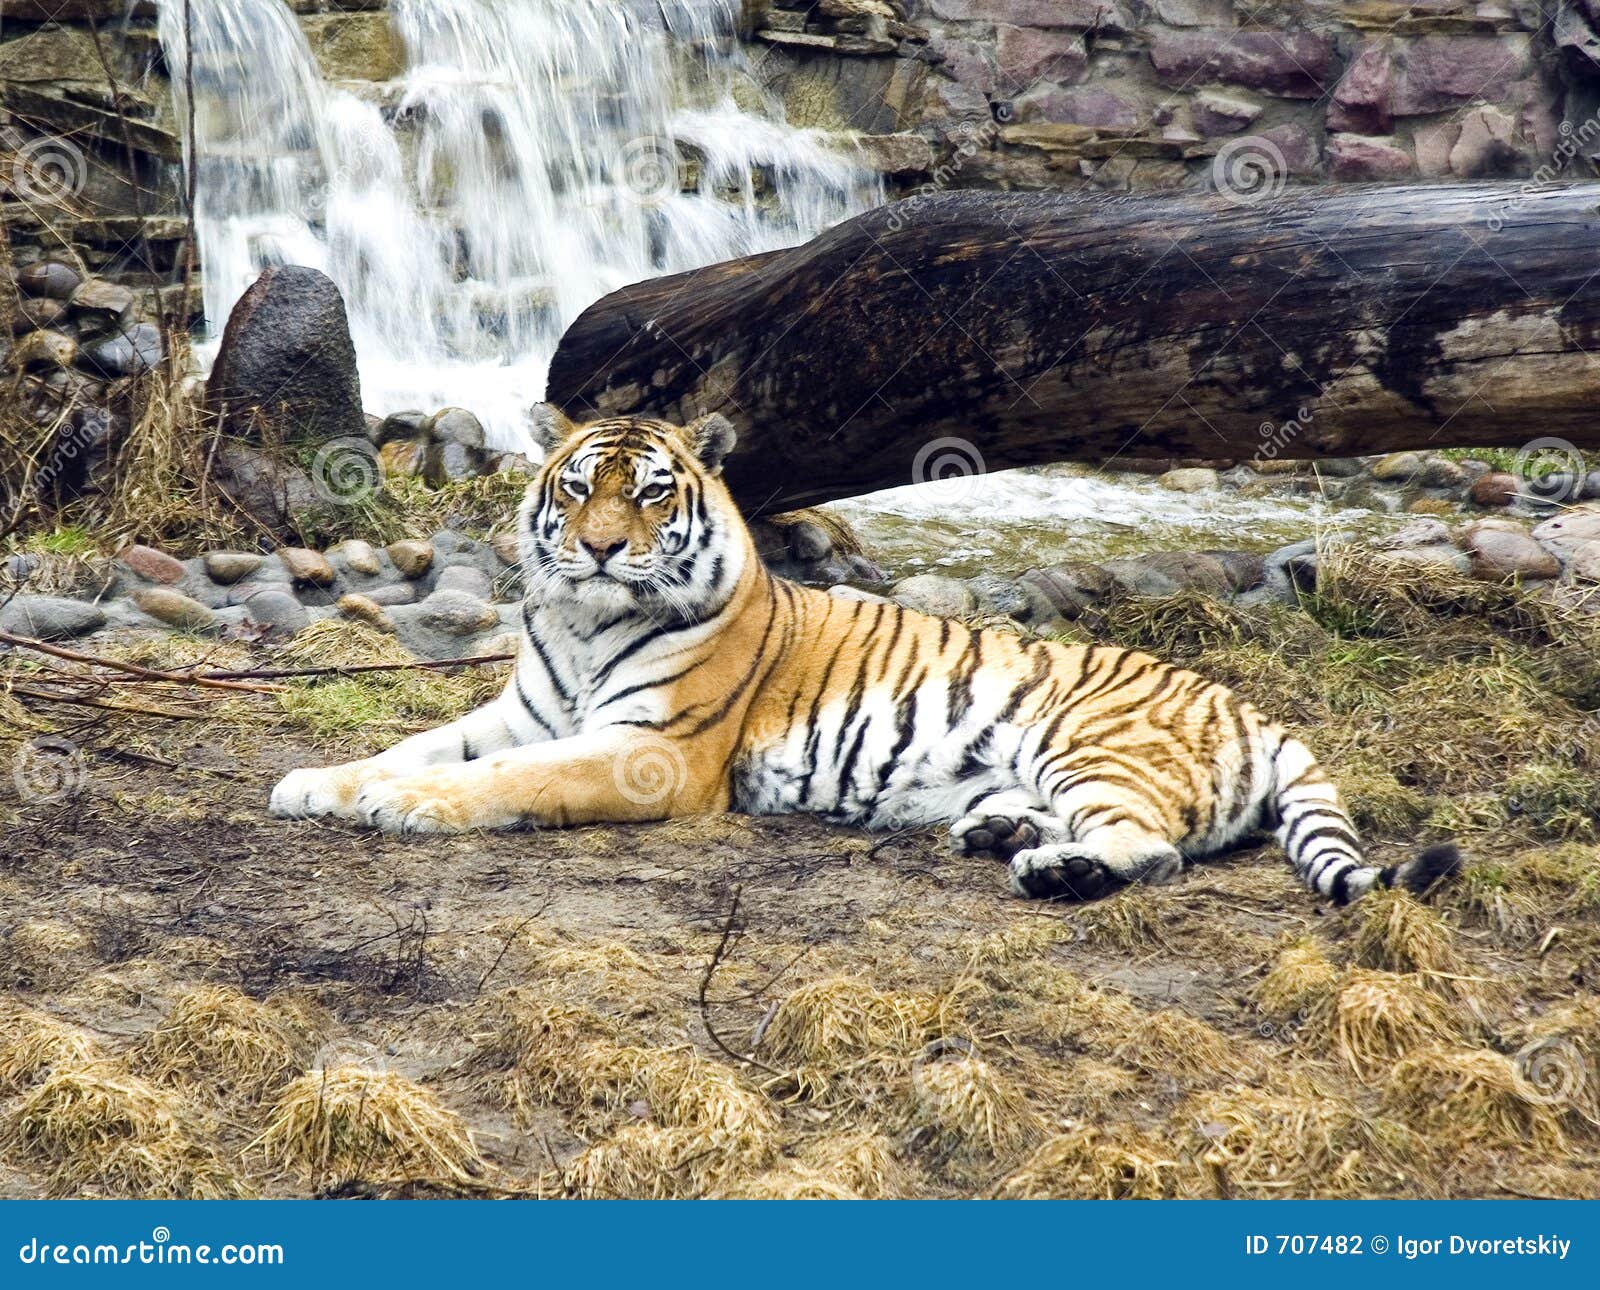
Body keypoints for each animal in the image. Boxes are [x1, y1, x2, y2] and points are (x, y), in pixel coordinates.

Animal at [270, 406, 1460, 905]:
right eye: (579, 485)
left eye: (649, 493)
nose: (602, 547)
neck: (581, 618)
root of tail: (1255, 709)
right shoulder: (521, 712)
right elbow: (419, 743)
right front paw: (316, 783)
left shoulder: (649, 753)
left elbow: (506, 781)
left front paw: (407, 808)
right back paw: (1001, 834)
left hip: (1094, 745)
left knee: (1155, 849)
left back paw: (1056, 871)